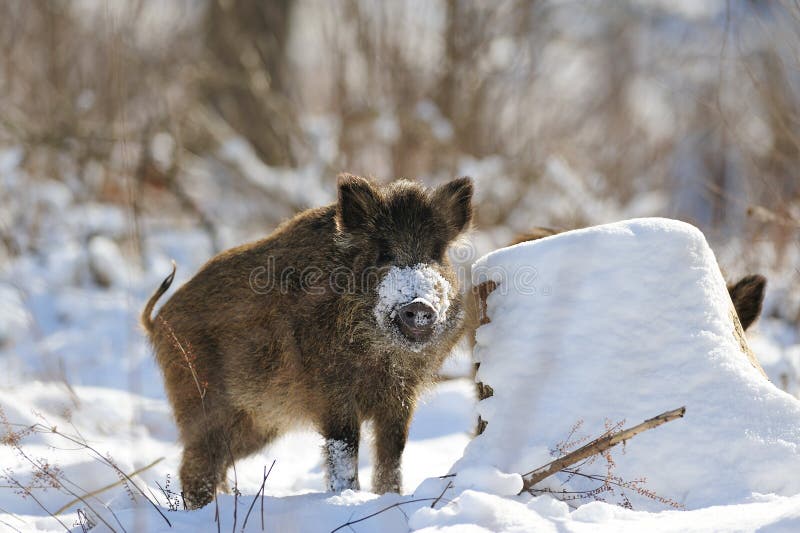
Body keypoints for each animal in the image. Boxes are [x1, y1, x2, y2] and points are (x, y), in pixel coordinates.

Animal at [141, 175, 473, 509]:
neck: (381, 357)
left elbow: (393, 454)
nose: (418, 304)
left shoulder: (401, 396)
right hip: (201, 400)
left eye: (437, 253)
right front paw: (345, 497)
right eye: (383, 253)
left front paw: (389, 498)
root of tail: (159, 321)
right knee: (195, 467)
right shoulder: (331, 392)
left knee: (217, 462)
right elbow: (345, 448)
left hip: (256, 424)